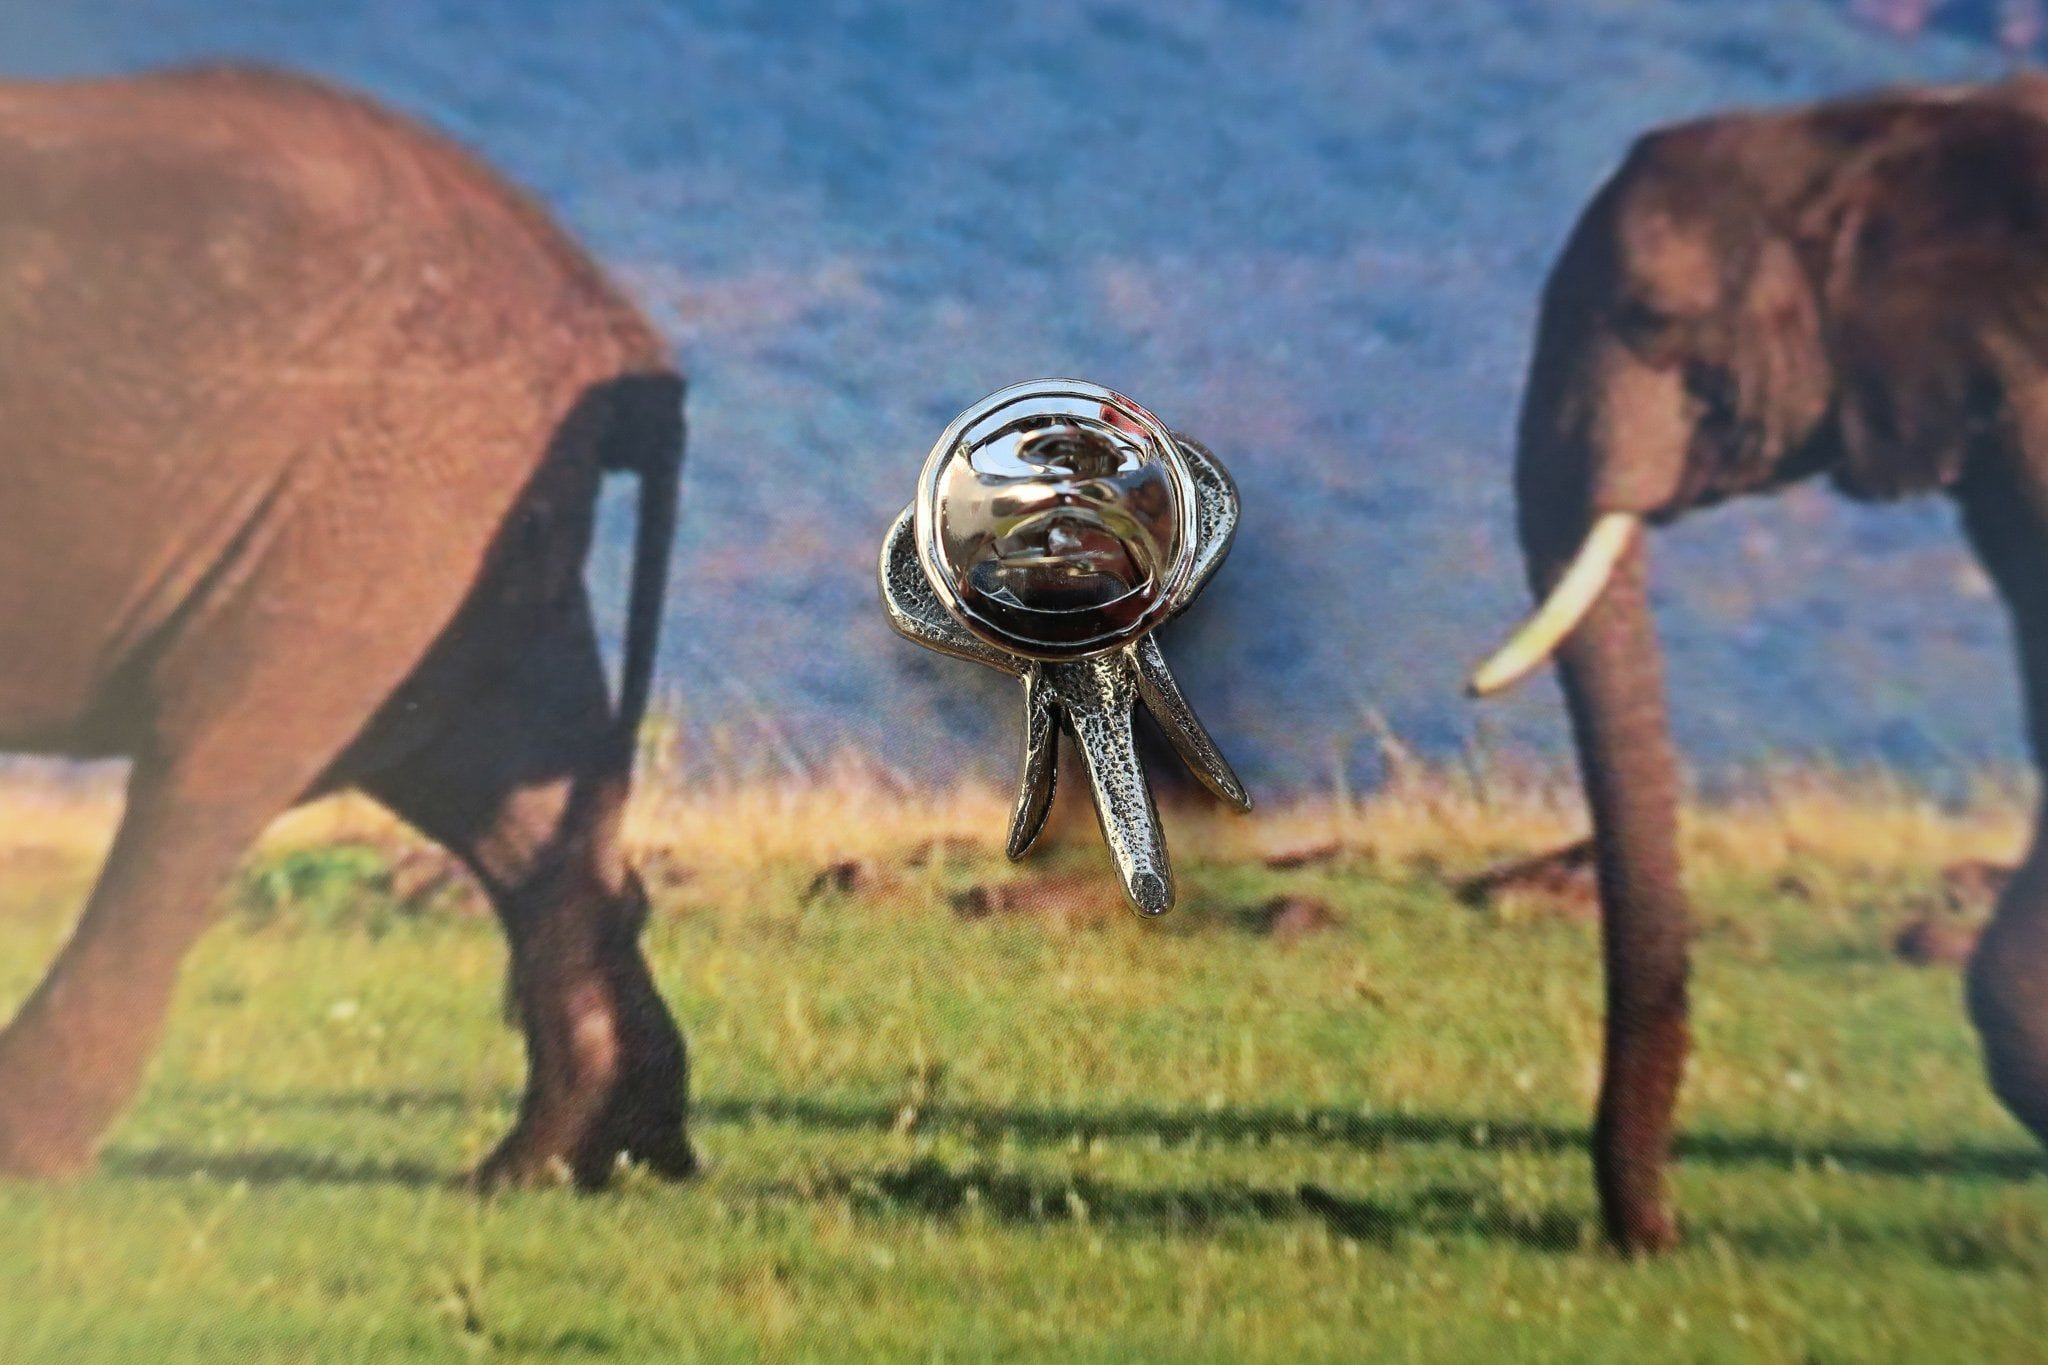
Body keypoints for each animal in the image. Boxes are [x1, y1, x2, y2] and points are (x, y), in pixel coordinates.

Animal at [0, 65, 694, 1186]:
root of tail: (624, 330)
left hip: (369, 510)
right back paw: (551, 1167)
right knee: (511, 805)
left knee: (205, 781)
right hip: (460, 520)